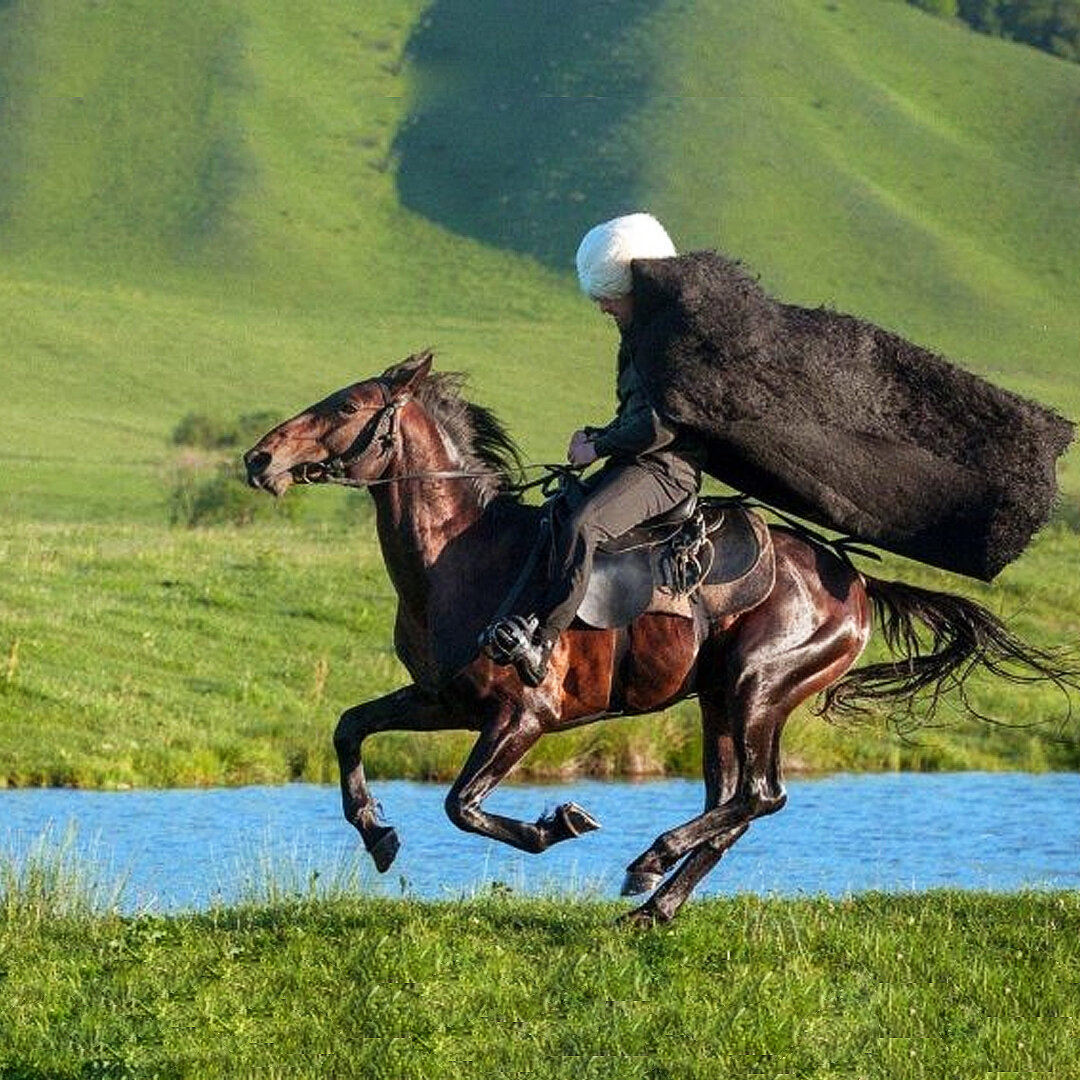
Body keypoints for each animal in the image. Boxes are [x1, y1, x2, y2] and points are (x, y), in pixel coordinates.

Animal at [243, 349, 1071, 924]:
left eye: (348, 404)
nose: (259, 458)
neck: (462, 555)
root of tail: (856, 581)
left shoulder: (523, 717)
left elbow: (461, 805)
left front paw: (559, 823)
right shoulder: (441, 699)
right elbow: (350, 728)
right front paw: (377, 835)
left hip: (759, 685)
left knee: (760, 797)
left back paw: (650, 862)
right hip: (721, 703)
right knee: (737, 801)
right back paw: (654, 907)